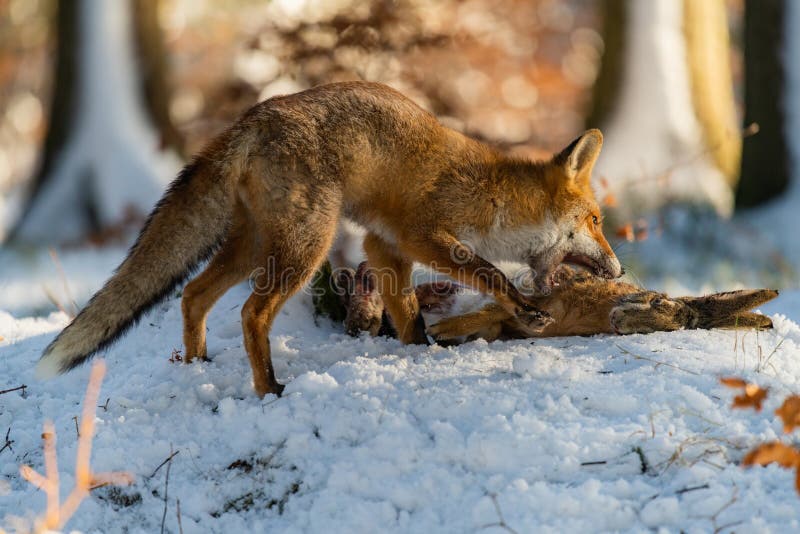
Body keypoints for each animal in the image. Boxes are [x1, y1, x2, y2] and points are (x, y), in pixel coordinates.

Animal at [36, 81, 622, 397]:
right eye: (596, 220)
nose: (618, 269)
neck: (492, 195)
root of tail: (251, 118)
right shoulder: (424, 235)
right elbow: (489, 271)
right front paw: (526, 309)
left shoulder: (385, 246)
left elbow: (408, 312)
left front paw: (417, 350)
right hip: (305, 244)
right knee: (250, 312)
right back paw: (267, 389)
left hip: (256, 243)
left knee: (193, 294)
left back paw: (198, 365)